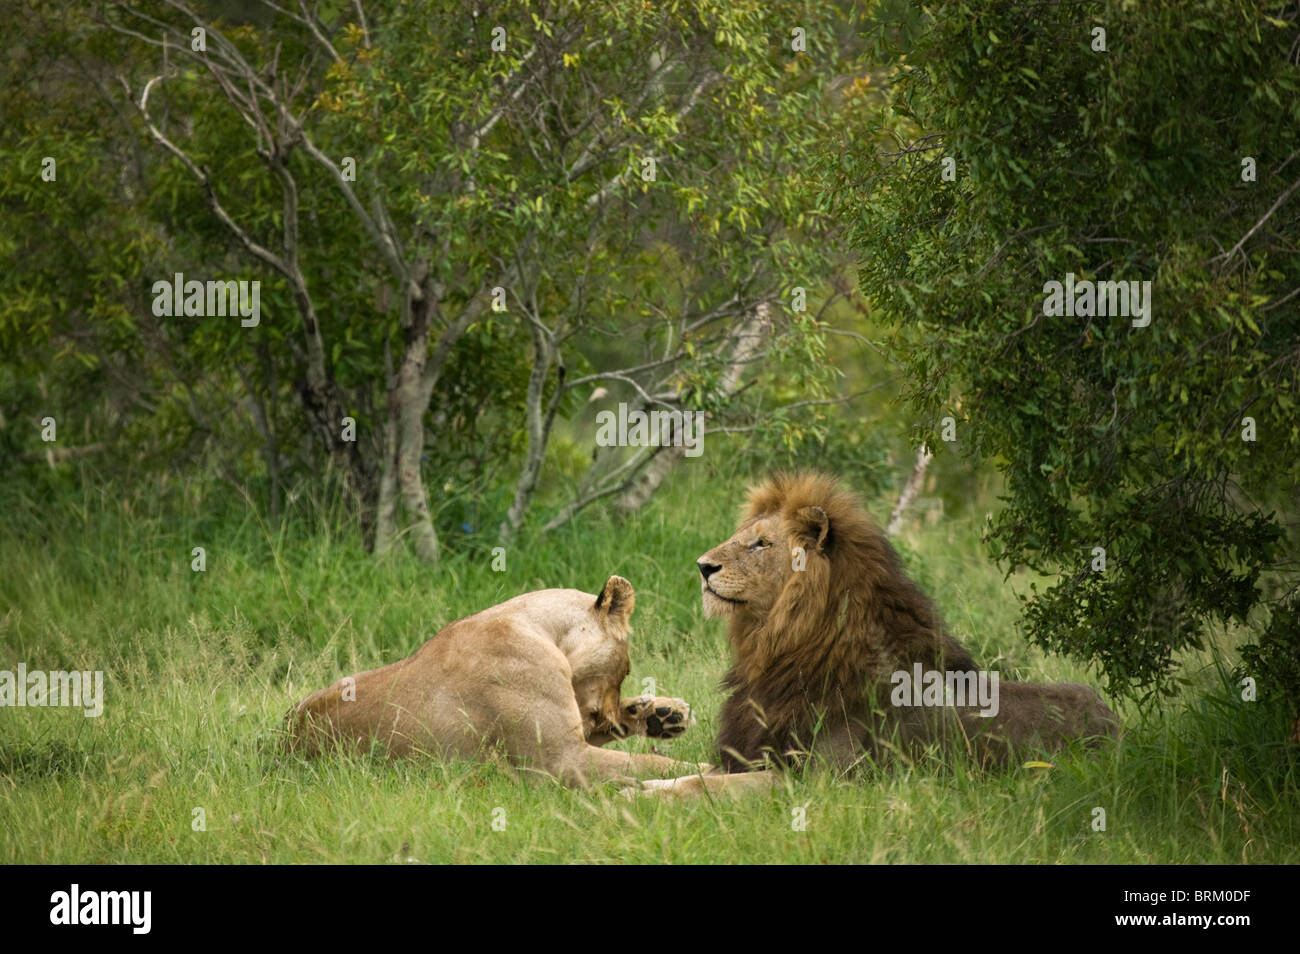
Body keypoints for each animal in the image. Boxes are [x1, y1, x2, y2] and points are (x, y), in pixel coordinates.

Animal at [284, 576, 709, 789]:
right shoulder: (560, 760)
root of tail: (283, 744)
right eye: (626, 668)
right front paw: (708, 768)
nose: (608, 713)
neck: (543, 629)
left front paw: (664, 713)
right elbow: (649, 762)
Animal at [634, 472, 1119, 797]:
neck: (778, 647)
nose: (702, 567)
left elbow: (700, 786)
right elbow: (681, 771)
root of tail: (1117, 728)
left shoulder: (819, 778)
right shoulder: (748, 752)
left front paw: (637, 797)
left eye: (761, 544)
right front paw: (639, 784)